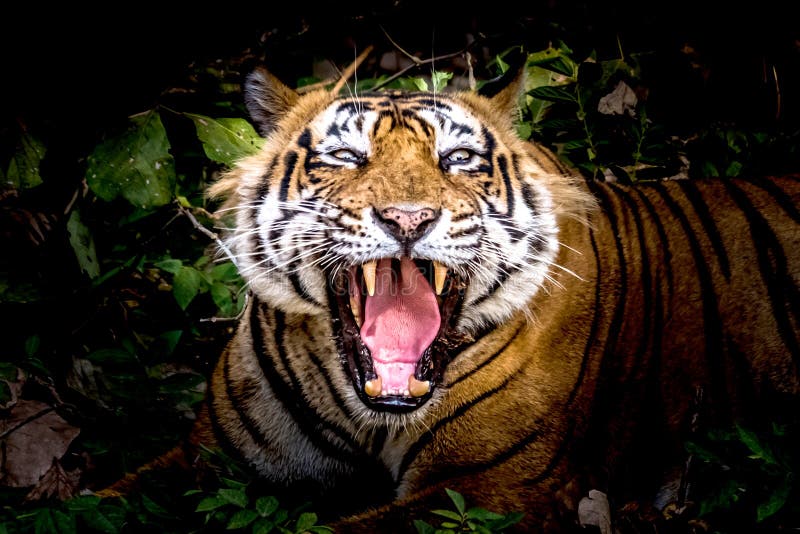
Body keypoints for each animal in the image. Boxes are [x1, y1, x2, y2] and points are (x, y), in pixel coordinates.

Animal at [104, 65, 800, 532]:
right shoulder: (210, 456)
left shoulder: (488, 489)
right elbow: (100, 503)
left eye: (460, 158)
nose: (407, 218)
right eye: (345, 156)